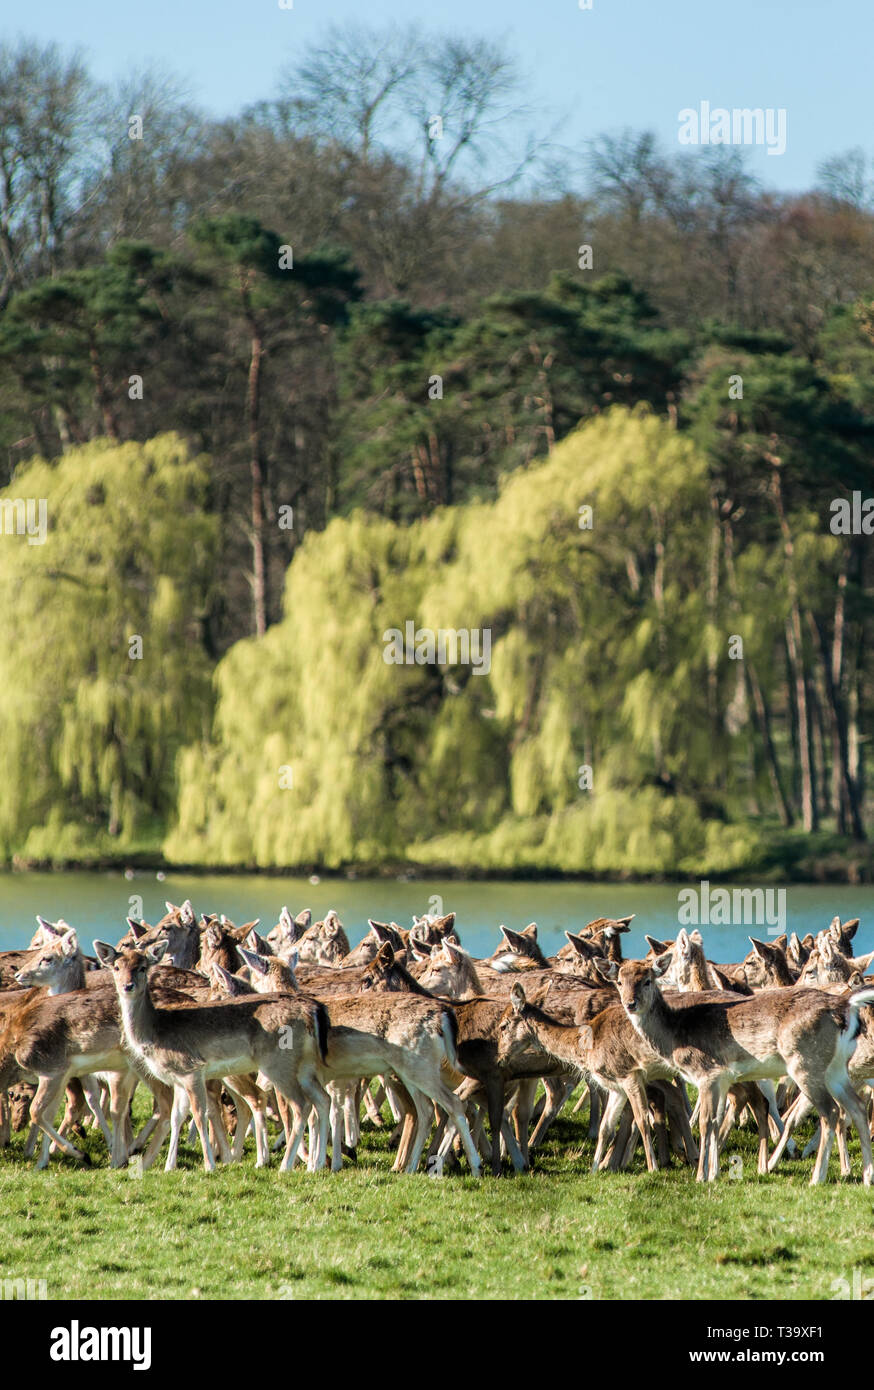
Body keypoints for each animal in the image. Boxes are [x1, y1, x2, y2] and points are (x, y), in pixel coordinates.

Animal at [603, 952, 874, 1183]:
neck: (676, 1037)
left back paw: (817, 1178)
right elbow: (716, 1120)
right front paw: (713, 1174)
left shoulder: (707, 1072)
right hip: (837, 1068)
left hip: (806, 1062)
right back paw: (866, 1177)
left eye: (647, 981)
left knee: (830, 1112)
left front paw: (701, 1176)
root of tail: (845, 1006)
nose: (630, 1003)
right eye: (619, 981)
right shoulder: (723, 1078)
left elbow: (705, 1122)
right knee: (857, 1108)